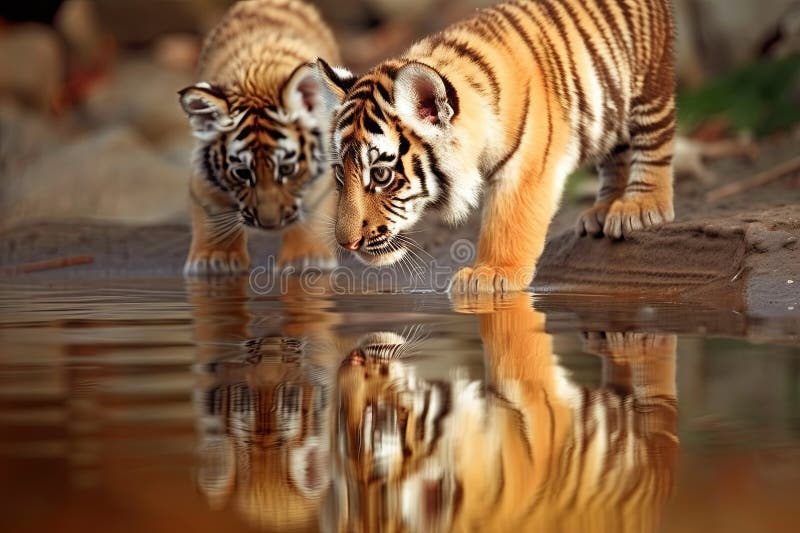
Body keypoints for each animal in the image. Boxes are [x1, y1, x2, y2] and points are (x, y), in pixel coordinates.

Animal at [179, 0, 340, 276]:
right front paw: (215, 260)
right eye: (242, 173)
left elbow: (313, 209)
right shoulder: (203, 175)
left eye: (286, 169)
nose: (269, 224)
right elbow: (213, 212)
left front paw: (307, 259)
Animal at [317, 0, 676, 293]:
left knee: (654, 143)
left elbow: (509, 224)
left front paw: (490, 275)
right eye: (340, 173)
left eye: (381, 175)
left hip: (650, 81)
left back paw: (639, 206)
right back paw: (603, 210)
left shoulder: (527, 169)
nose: (347, 244)